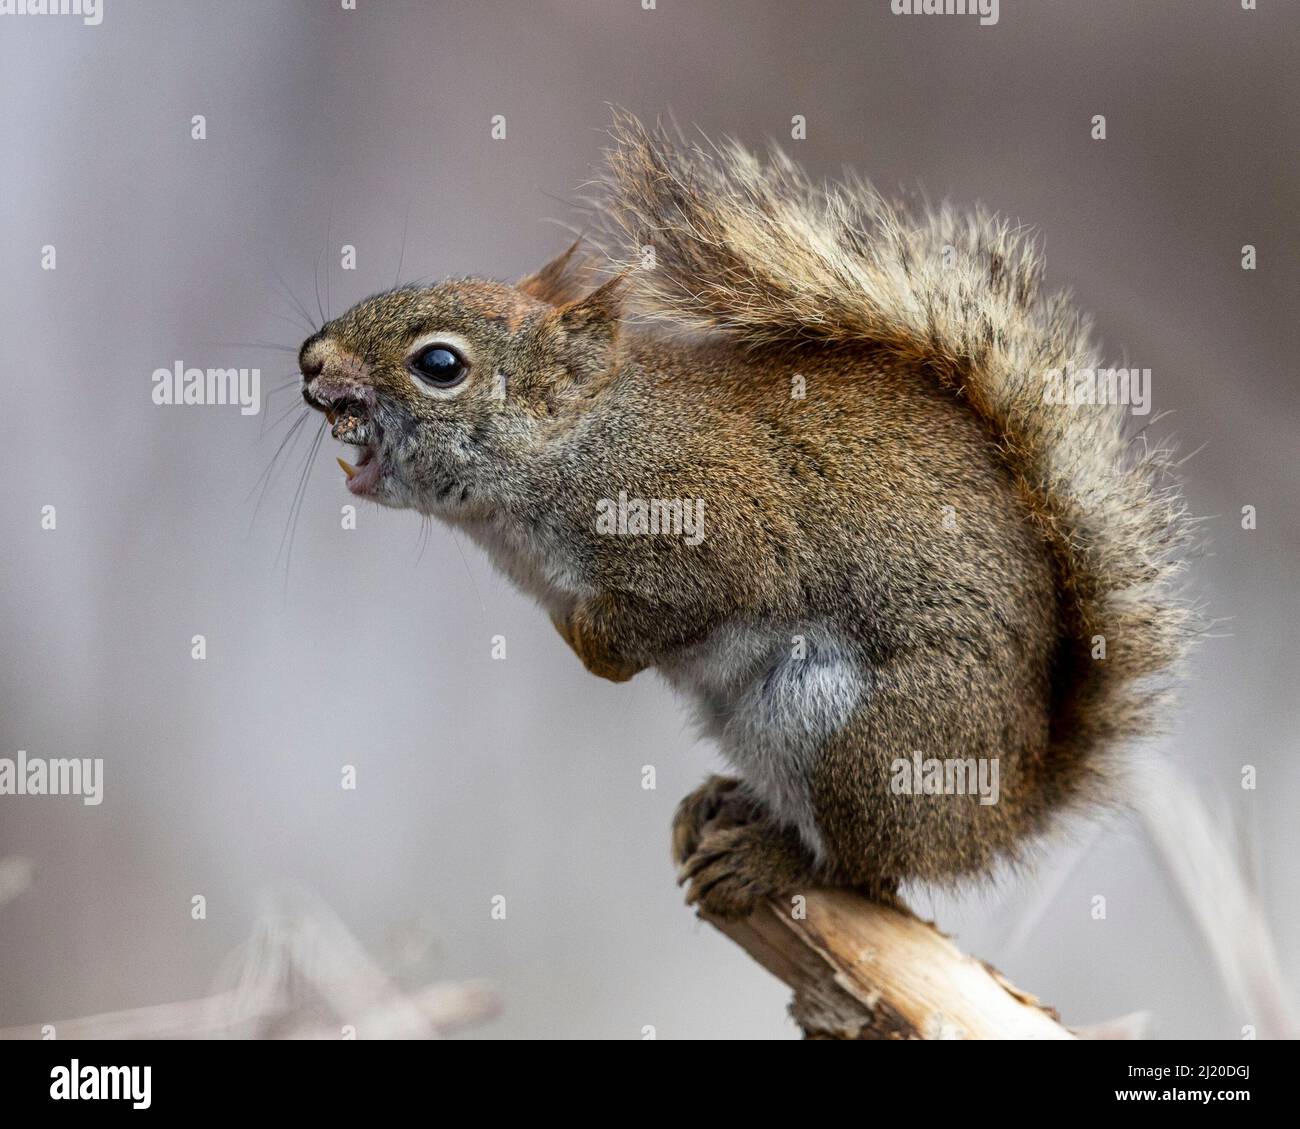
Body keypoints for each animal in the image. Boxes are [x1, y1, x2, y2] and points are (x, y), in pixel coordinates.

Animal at [297, 113, 1195, 918]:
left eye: (439, 364)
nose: (310, 359)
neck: (584, 444)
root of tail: (1002, 811)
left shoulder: (706, 527)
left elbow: (664, 613)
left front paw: (590, 644)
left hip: (861, 742)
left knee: (868, 873)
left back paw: (769, 859)